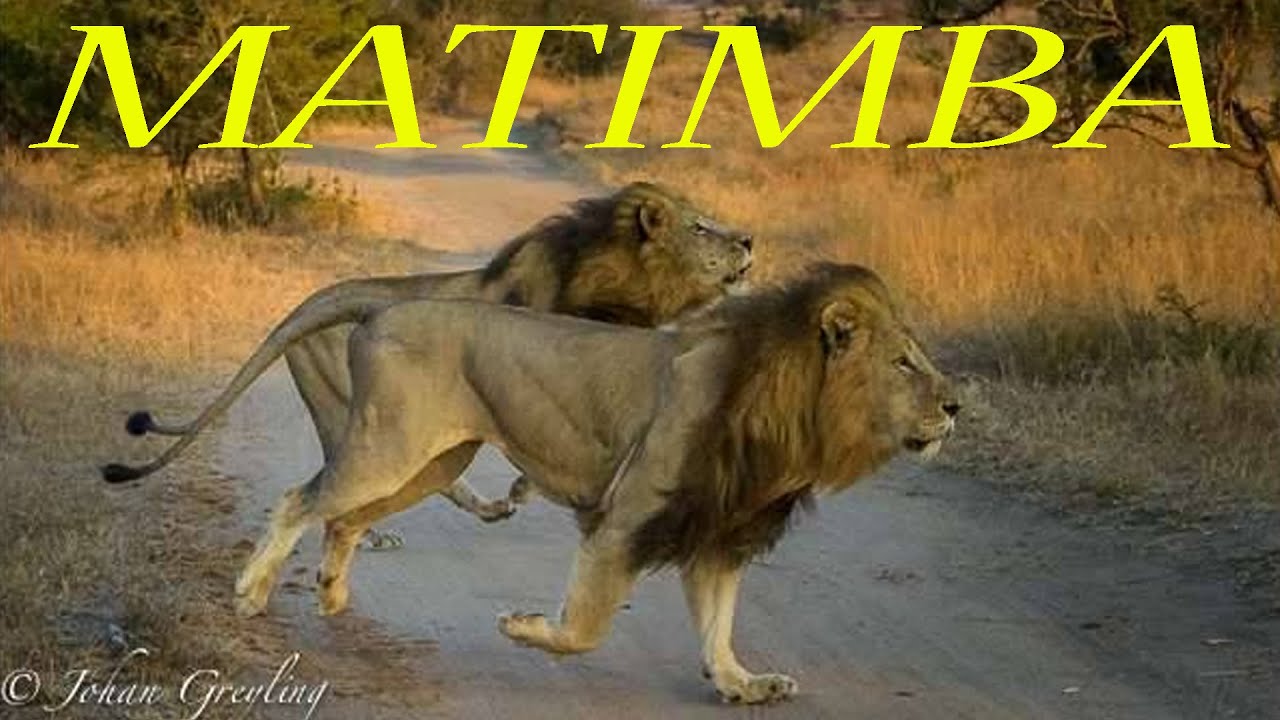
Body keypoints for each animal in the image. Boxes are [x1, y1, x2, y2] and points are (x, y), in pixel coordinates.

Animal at [105, 262, 958, 704]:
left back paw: (333, 594)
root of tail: (392, 300)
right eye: (903, 363)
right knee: (301, 499)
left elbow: (718, 626)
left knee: (345, 516)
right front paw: (520, 627)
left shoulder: (717, 535)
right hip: (392, 448)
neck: (793, 411)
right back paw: (251, 593)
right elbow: (586, 629)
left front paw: (743, 684)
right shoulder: (631, 513)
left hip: (433, 460)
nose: (955, 406)